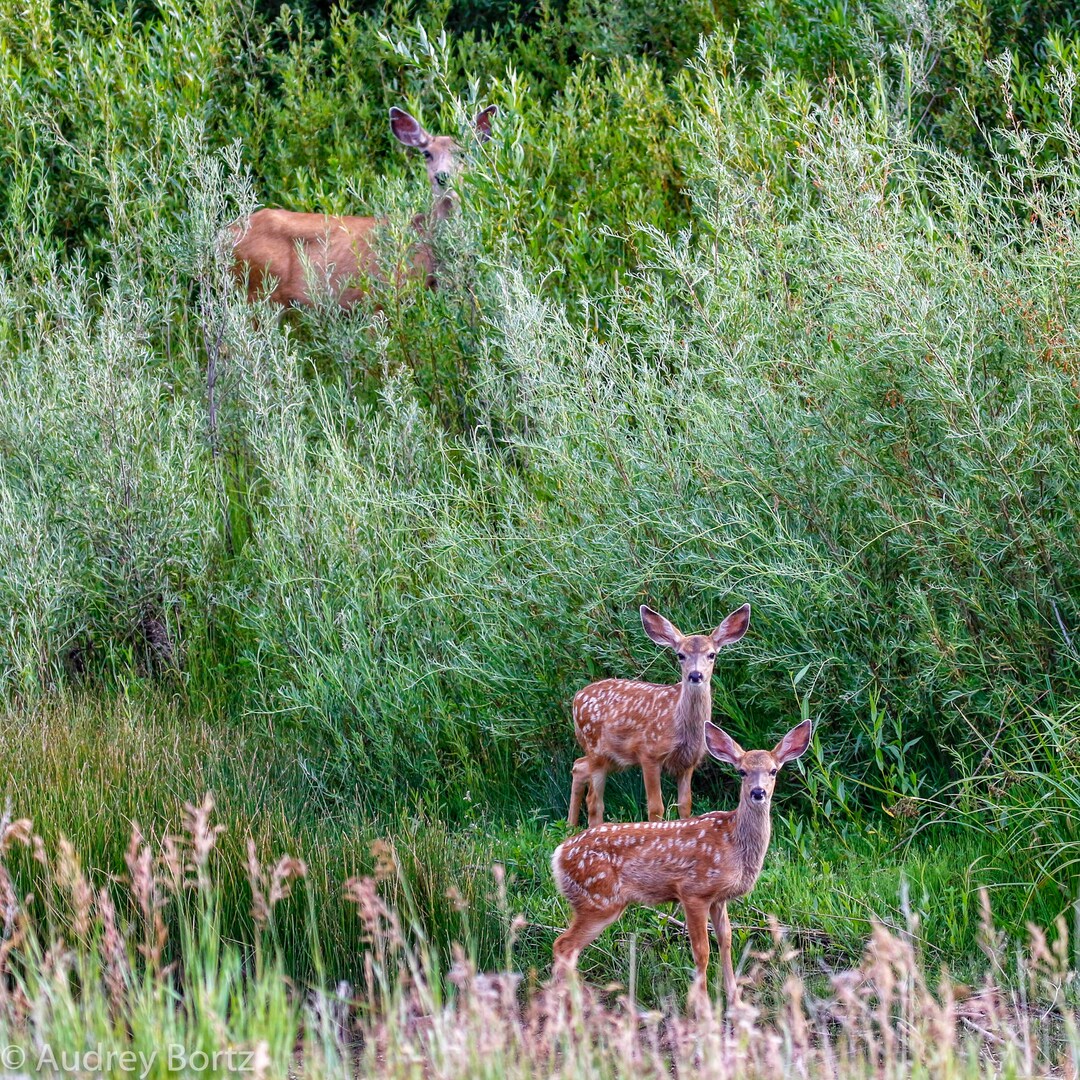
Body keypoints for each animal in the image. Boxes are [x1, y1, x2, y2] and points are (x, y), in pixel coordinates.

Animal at [230, 104, 497, 308]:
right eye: (427, 154)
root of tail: (226, 232)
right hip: (255, 290)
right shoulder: (378, 300)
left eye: (462, 154)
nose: (442, 177)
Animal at [552, 718, 813, 1003]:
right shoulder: (694, 891)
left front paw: (734, 998)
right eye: (742, 771)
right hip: (598, 900)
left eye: (774, 771)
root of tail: (558, 855)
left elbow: (726, 941)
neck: (734, 843)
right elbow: (701, 950)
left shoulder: (718, 898)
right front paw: (703, 1003)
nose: (758, 792)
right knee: (563, 945)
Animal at [568, 604, 751, 829]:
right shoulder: (649, 753)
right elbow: (656, 808)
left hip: (612, 757)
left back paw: (570, 825)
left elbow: (685, 804)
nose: (695, 675)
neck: (679, 724)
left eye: (711, 654)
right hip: (595, 748)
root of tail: (576, 698)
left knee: (578, 766)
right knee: (594, 799)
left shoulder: (688, 762)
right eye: (680, 655)